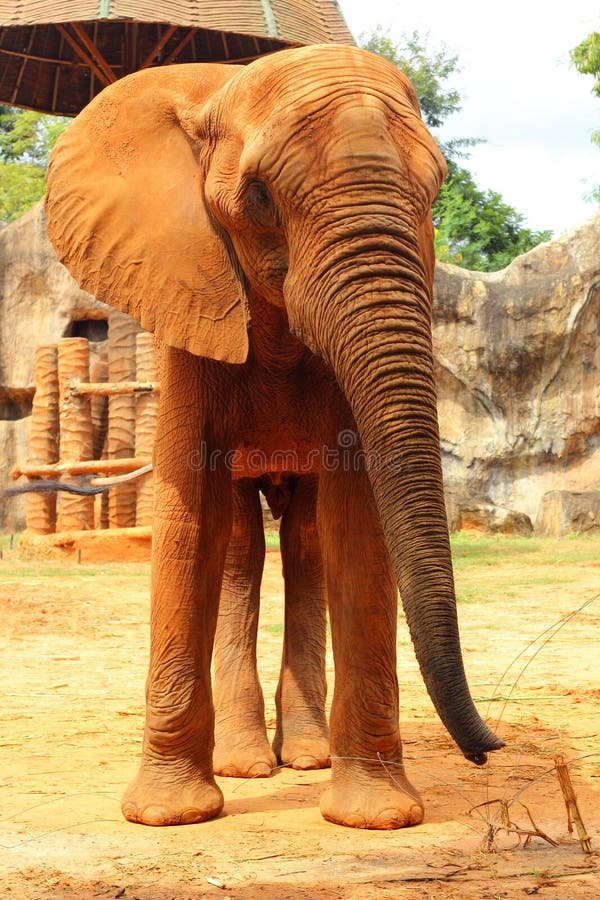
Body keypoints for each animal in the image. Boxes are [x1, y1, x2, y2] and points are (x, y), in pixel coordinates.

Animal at [45, 43, 503, 830]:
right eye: (258, 197)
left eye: (436, 190)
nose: (489, 749)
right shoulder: (187, 295)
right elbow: (190, 518)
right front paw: (168, 816)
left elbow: (356, 522)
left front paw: (375, 818)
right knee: (239, 545)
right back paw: (246, 765)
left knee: (307, 541)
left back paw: (308, 758)